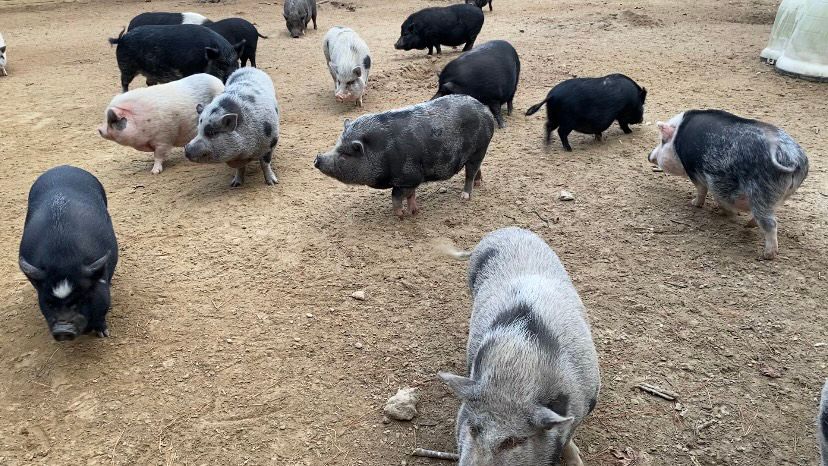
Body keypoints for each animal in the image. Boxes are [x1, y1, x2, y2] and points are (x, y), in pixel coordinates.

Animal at [19, 166, 118, 341]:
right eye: (49, 303)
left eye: (80, 299)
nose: (62, 330)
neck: (62, 259)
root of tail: (63, 167)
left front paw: (103, 334)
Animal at [108, 24, 243, 92]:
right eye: (222, 65)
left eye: (236, 63)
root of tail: (122, 39)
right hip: (126, 67)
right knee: (124, 83)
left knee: (149, 82)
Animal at [314, 94, 495, 218]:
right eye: (336, 146)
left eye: (344, 154)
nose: (317, 159)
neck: (380, 151)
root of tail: (485, 109)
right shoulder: (411, 180)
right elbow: (410, 195)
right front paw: (414, 211)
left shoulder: (409, 176)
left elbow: (396, 195)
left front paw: (400, 215)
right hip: (476, 153)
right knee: (476, 169)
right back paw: (478, 184)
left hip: (479, 148)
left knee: (470, 173)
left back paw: (464, 197)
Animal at [648, 109, 809, 260]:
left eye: (663, 141)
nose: (649, 156)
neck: (677, 139)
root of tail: (791, 157)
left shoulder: (694, 171)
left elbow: (702, 190)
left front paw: (694, 203)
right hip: (778, 194)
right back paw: (748, 225)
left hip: (761, 190)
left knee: (771, 222)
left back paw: (767, 255)